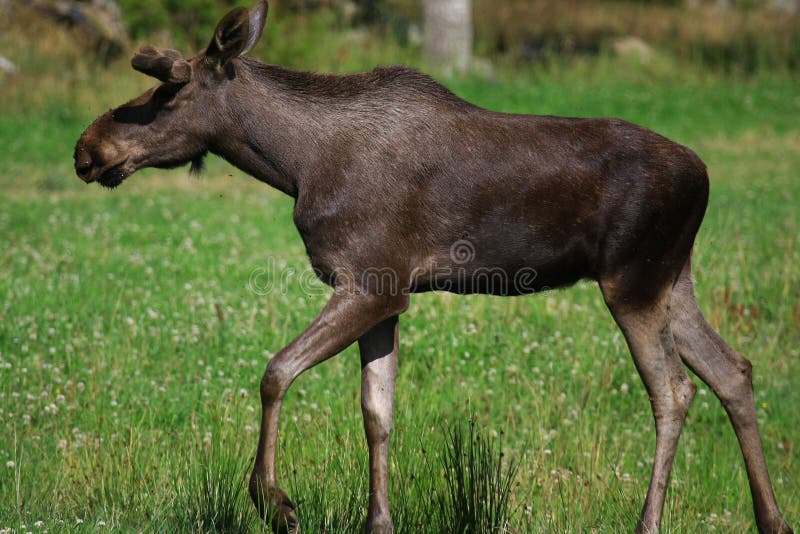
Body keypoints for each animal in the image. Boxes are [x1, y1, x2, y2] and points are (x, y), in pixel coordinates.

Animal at [73, 2, 793, 533]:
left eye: (169, 88)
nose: (88, 148)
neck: (294, 164)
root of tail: (704, 176)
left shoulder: (370, 282)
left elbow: (276, 372)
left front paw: (274, 500)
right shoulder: (386, 296)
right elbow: (377, 413)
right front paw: (378, 521)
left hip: (632, 282)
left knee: (674, 391)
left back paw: (651, 522)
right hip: (673, 277)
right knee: (733, 370)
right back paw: (773, 518)